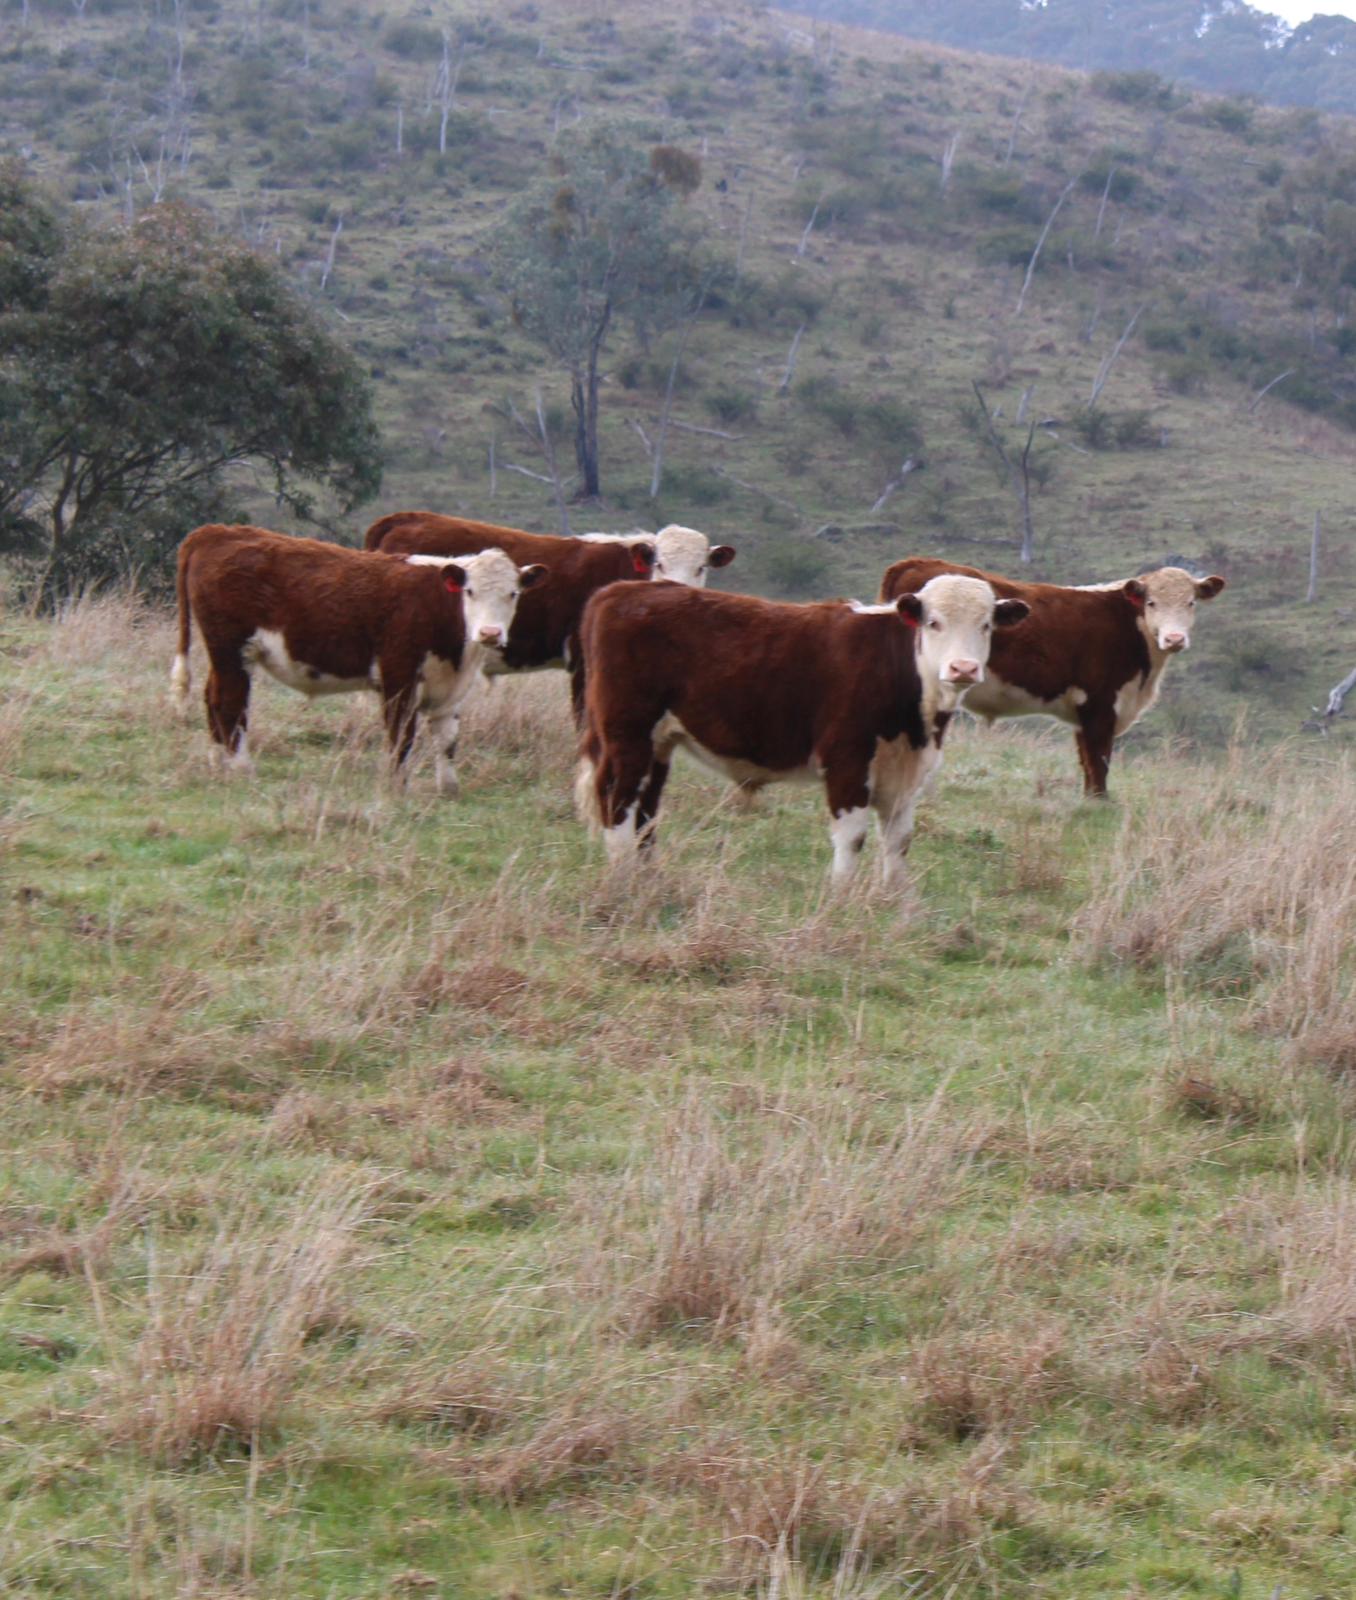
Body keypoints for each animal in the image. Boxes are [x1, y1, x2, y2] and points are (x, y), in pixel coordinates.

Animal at [171, 523, 547, 791]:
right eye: (469, 591)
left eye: (513, 594)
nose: (490, 633)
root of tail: (217, 531)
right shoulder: (398, 676)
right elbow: (401, 735)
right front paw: (397, 787)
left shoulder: (450, 688)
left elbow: (447, 739)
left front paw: (449, 789)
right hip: (232, 650)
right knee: (230, 704)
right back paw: (242, 769)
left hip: (224, 656)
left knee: (212, 698)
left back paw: (218, 764)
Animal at [575, 575, 1029, 884]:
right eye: (933, 622)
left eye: (986, 624)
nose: (963, 668)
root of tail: (621, 591)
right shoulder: (847, 761)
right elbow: (852, 837)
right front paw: (842, 902)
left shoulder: (906, 774)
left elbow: (898, 842)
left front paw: (896, 907)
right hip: (626, 732)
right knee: (617, 798)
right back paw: (623, 875)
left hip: (659, 742)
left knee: (646, 808)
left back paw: (648, 875)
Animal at [878, 559, 1226, 797]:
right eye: (1152, 602)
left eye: (1190, 602)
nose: (1174, 639)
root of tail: (914, 562)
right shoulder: (1101, 703)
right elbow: (1099, 759)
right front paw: (1100, 802)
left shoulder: (1085, 712)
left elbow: (1087, 760)